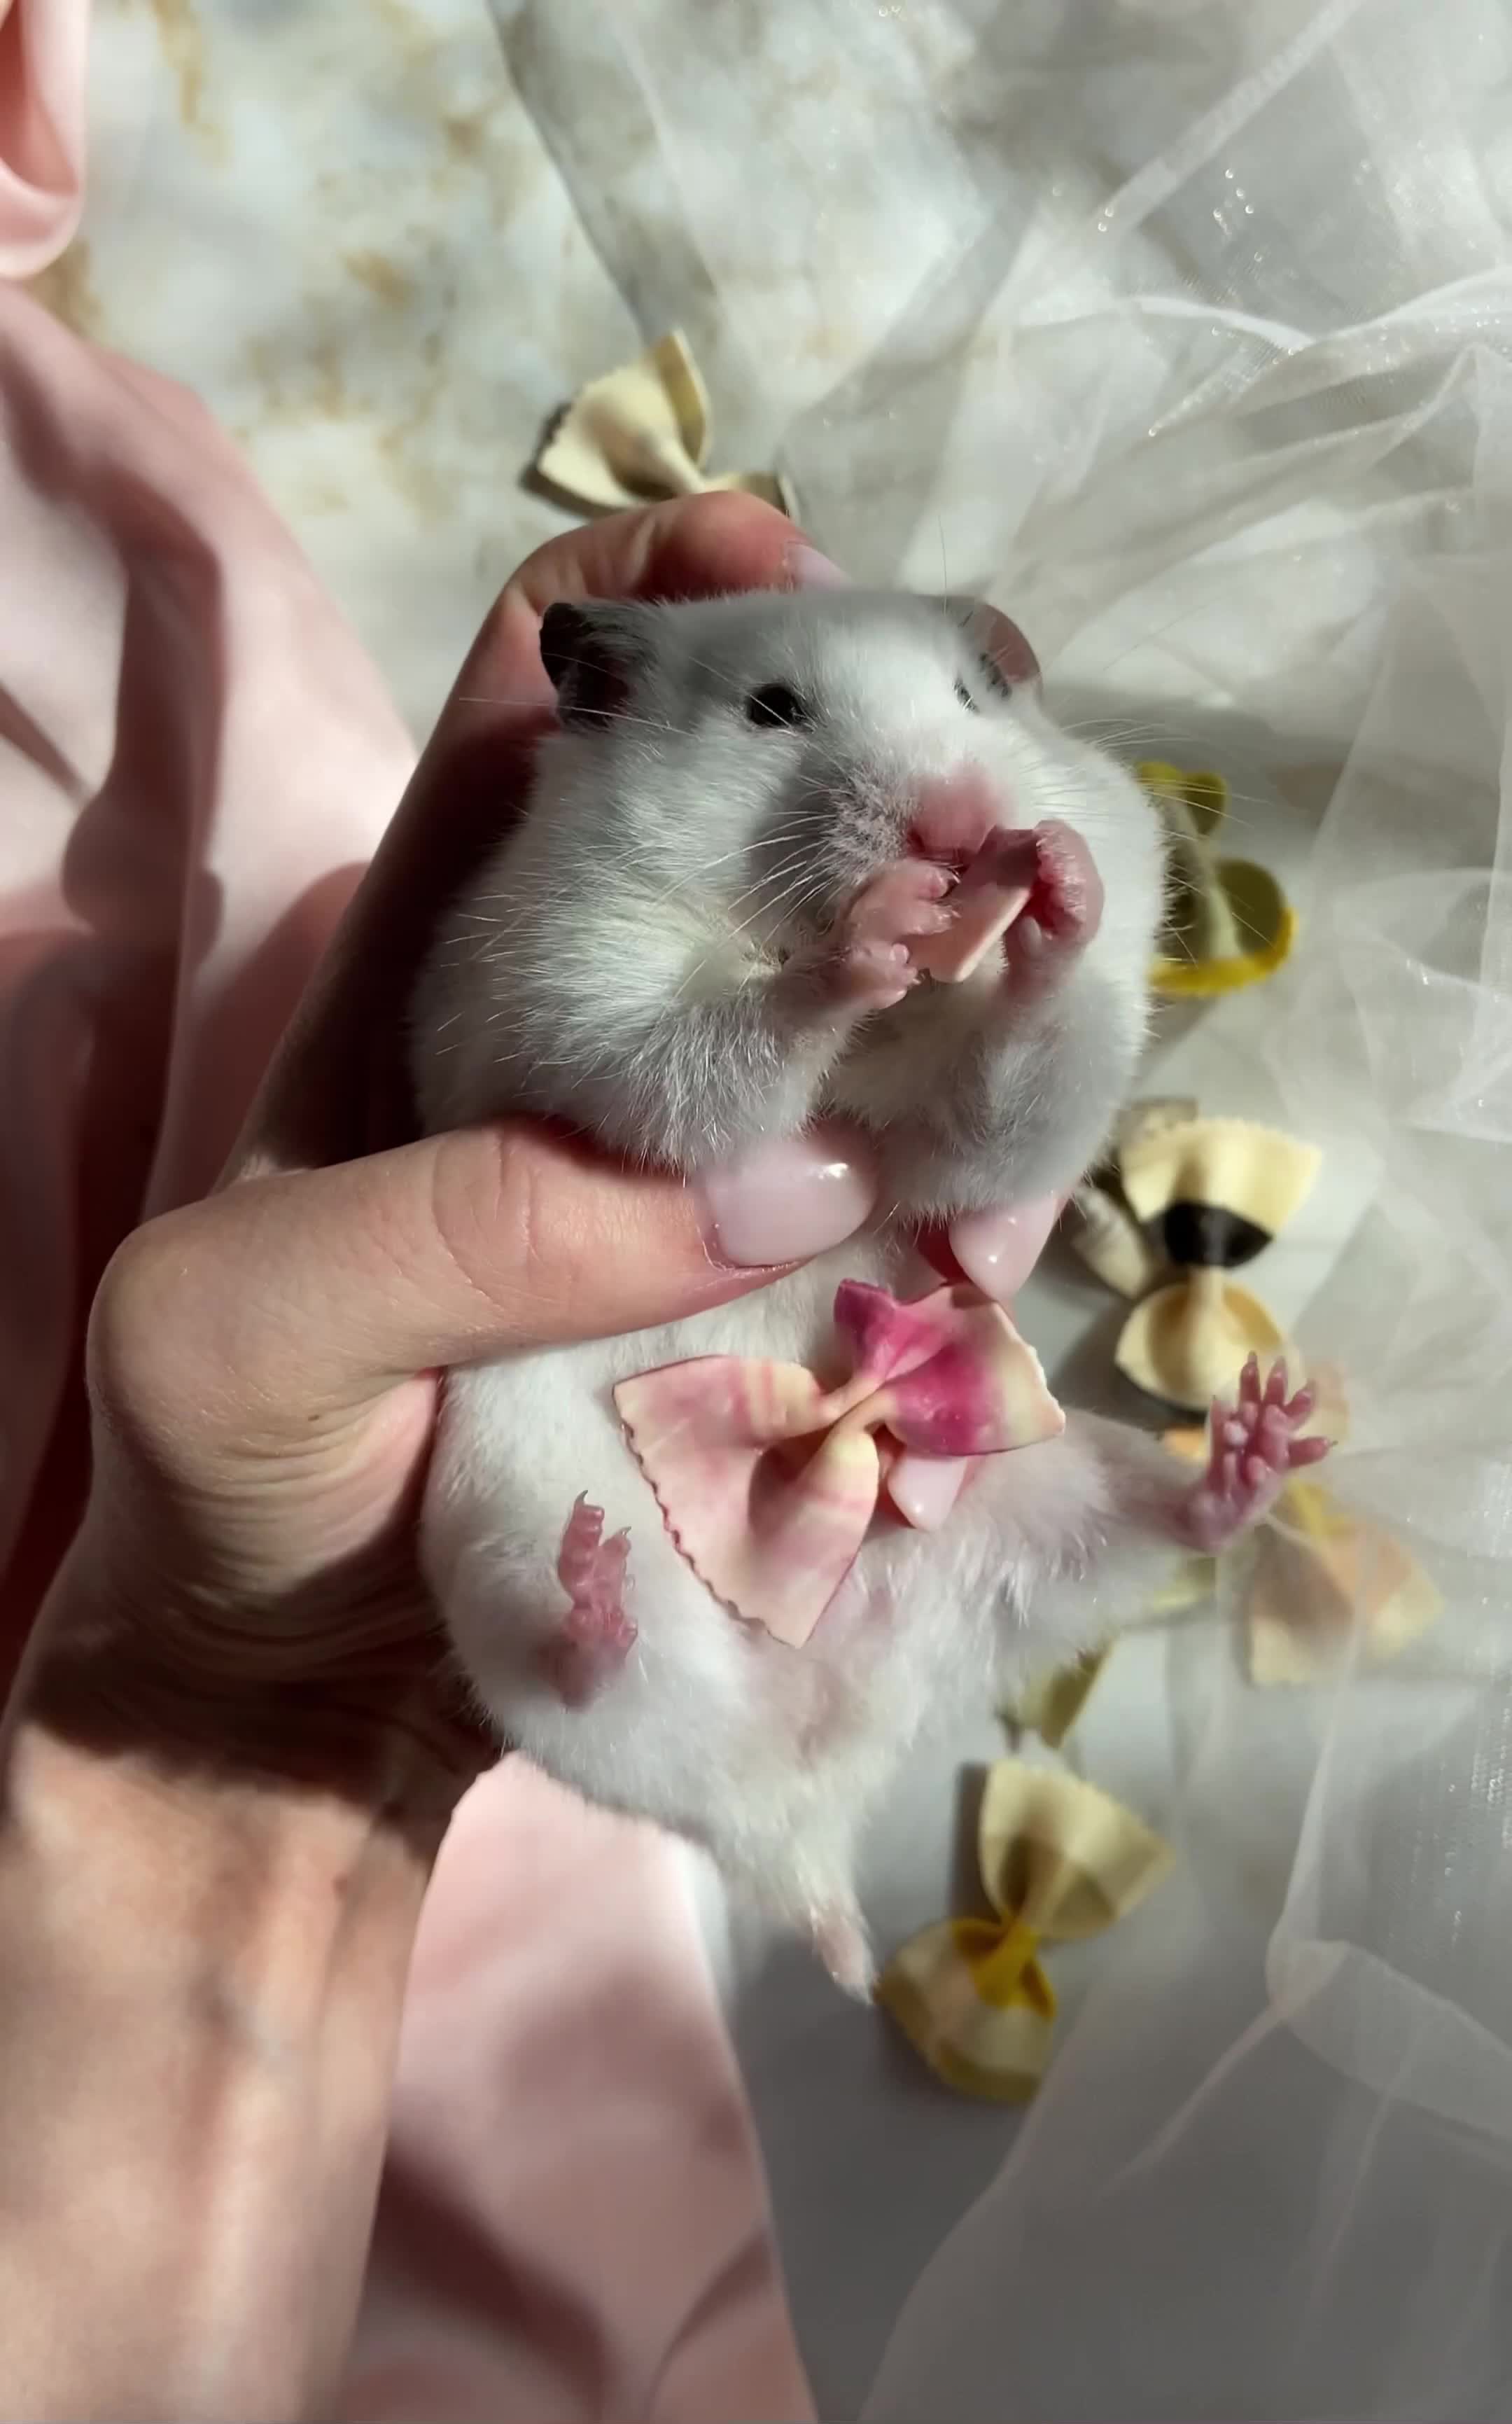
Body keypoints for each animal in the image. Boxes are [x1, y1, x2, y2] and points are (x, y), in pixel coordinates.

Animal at [411, 586, 1325, 1986]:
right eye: (773, 710)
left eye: (975, 696)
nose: (959, 822)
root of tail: (815, 1802)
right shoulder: (581, 988)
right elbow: (710, 1046)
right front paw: (874, 934)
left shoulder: (965, 1149)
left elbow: (1019, 1093)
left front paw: (1061, 889)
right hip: (496, 1519)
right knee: (588, 1686)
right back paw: (593, 1591)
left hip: (1051, 1509)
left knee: (1169, 1525)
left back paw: (1262, 1440)